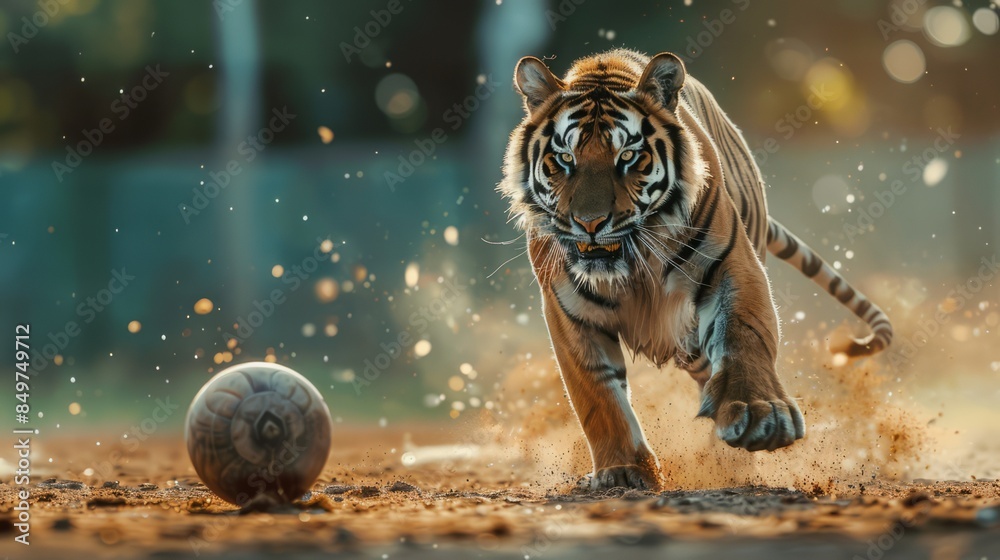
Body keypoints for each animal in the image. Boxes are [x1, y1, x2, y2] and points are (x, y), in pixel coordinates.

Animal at [499, 49, 893, 491]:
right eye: (564, 158)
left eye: (628, 156)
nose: (589, 223)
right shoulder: (566, 308)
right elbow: (597, 395)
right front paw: (622, 471)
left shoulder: (732, 267)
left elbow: (744, 339)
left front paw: (763, 416)